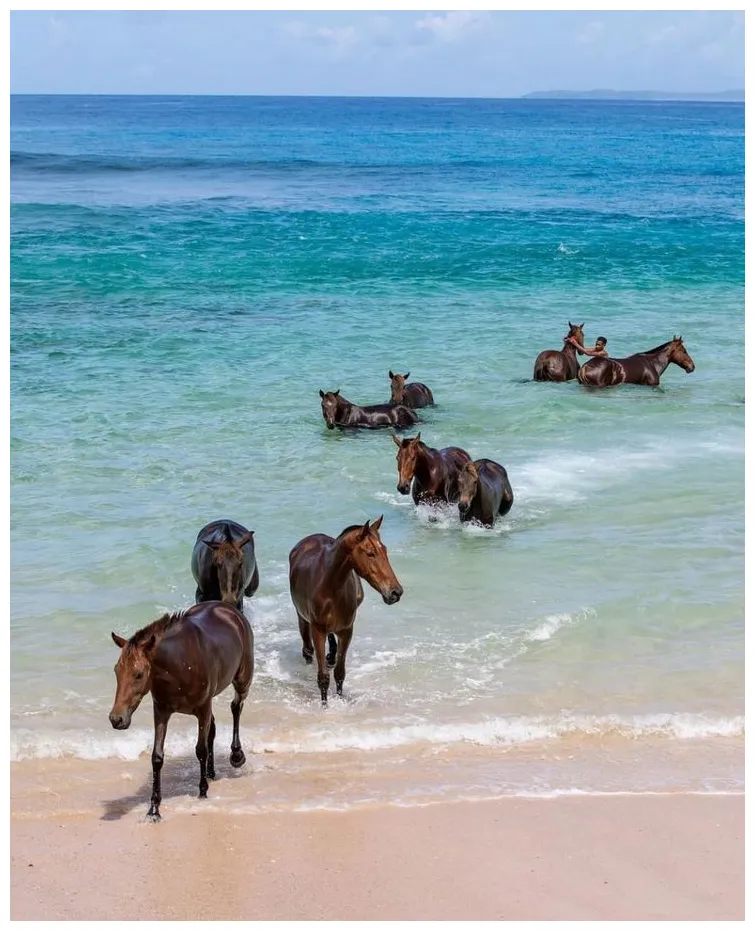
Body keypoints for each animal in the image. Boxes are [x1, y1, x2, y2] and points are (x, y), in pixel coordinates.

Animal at [109, 601, 254, 822]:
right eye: (117, 670)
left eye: (139, 674)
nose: (116, 719)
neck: (180, 663)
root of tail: (228, 609)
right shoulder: (161, 711)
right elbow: (157, 757)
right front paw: (154, 809)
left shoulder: (202, 708)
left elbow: (200, 750)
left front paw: (202, 792)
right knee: (213, 728)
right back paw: (211, 772)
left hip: (242, 680)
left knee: (236, 707)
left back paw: (236, 755)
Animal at [289, 516, 403, 705]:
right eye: (370, 553)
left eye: (385, 550)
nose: (396, 592)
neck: (330, 587)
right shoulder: (317, 630)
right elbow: (323, 677)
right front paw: (324, 706)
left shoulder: (346, 630)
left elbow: (340, 673)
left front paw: (340, 700)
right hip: (302, 617)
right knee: (307, 650)